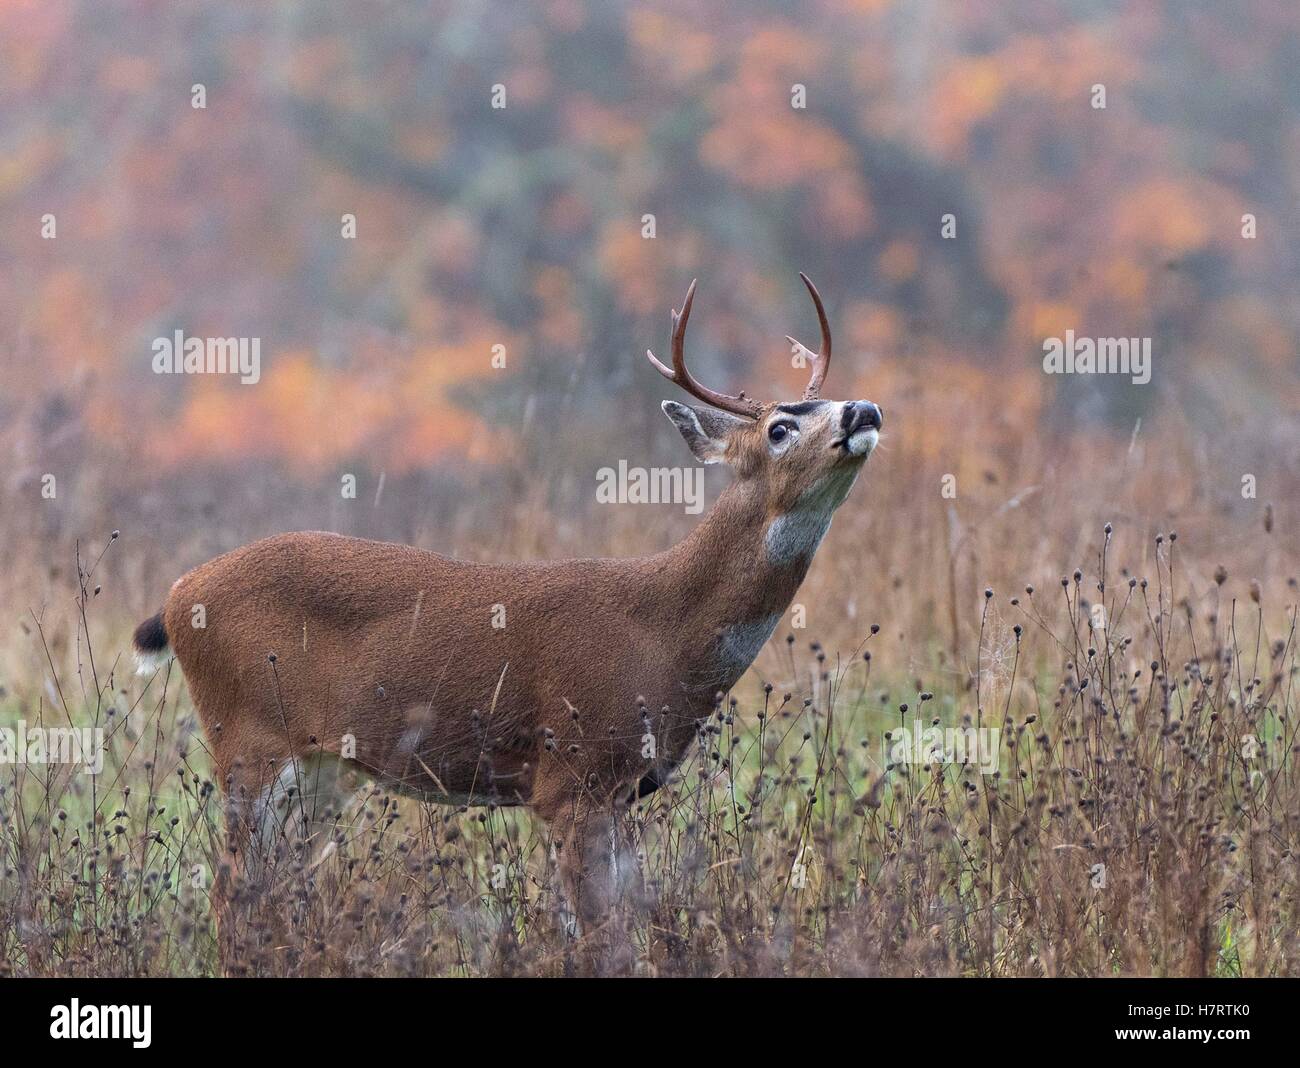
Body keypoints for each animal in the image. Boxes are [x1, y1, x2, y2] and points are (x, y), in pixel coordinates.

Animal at [131, 274, 883, 967]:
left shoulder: (618, 790)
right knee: (229, 890)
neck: (664, 633)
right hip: (248, 739)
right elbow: (603, 941)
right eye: (781, 427)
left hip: (319, 771)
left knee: (270, 889)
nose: (864, 409)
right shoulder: (573, 776)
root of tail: (177, 595)